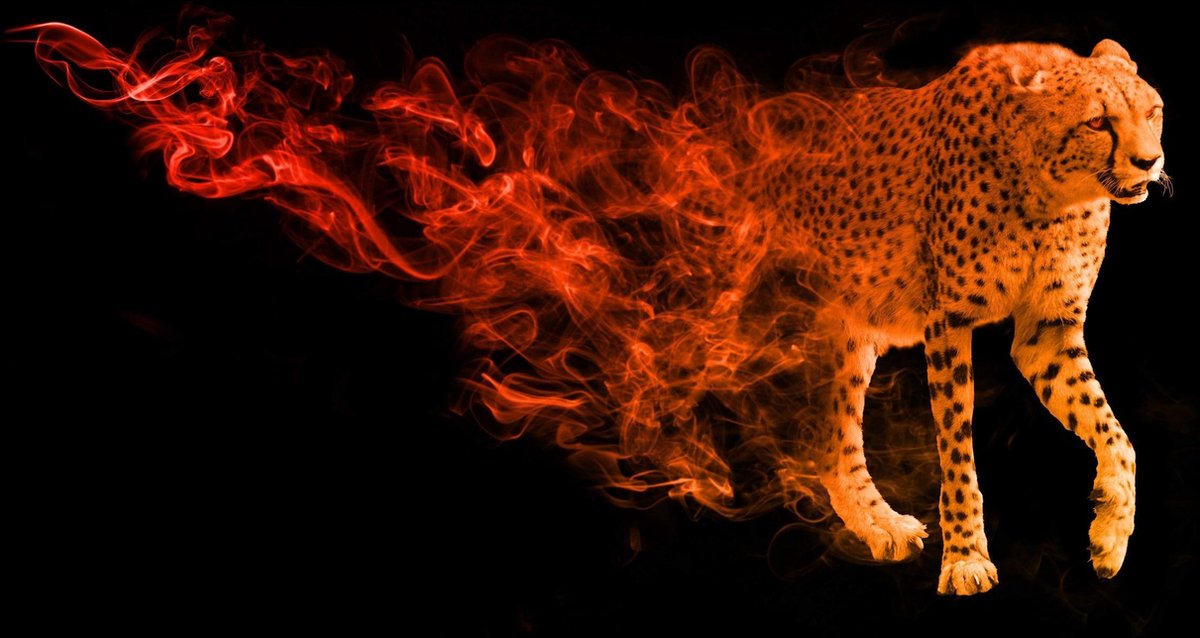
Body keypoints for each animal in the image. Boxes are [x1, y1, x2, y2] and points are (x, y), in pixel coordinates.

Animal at [752, 39, 1164, 595]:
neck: (1049, 193)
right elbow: (956, 447)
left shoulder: (1048, 331)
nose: (1149, 161)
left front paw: (1111, 532)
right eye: (1098, 122)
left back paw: (882, 524)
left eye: (1153, 111)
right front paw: (966, 556)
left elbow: (1115, 434)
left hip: (847, 334)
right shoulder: (948, 320)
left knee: (834, 446)